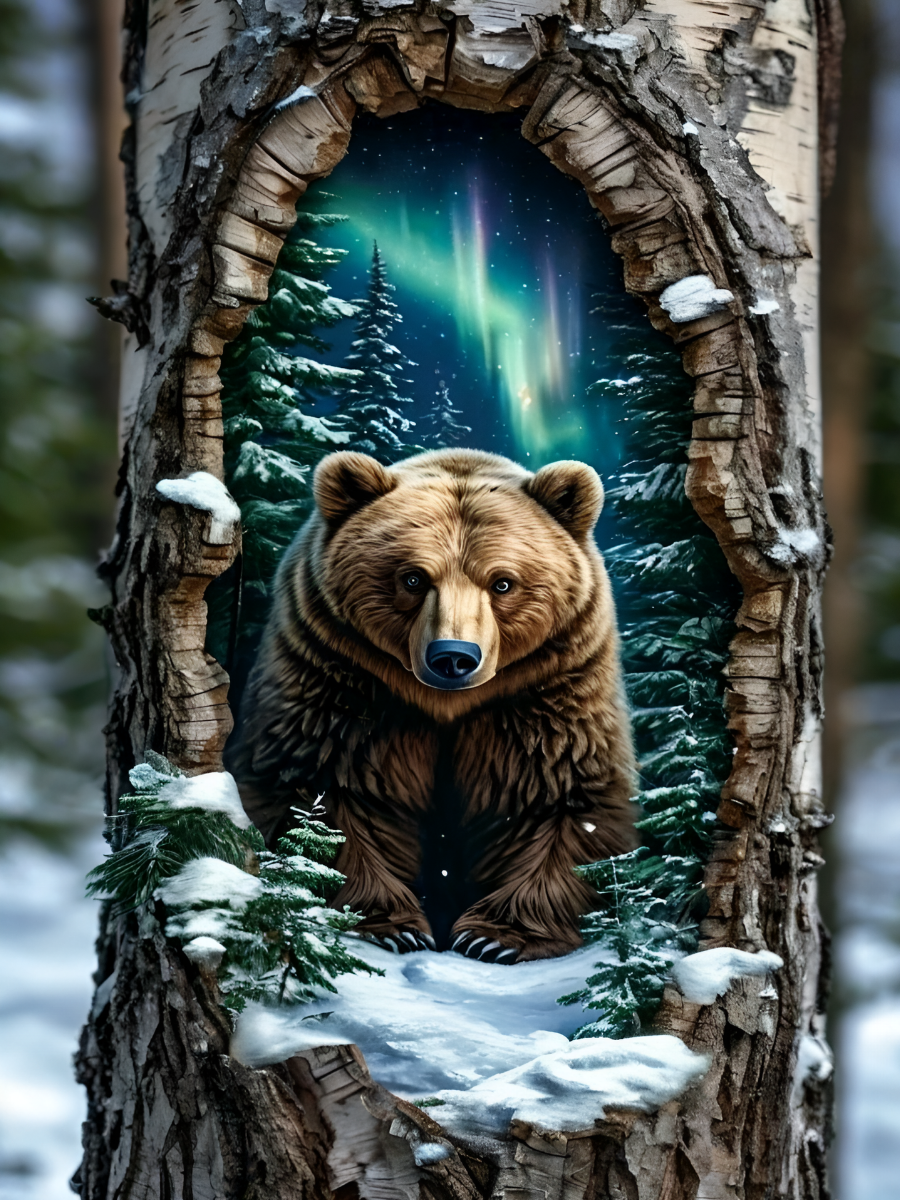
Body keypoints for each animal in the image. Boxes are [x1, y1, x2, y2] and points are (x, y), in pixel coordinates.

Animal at [228, 447, 636, 962]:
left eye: (503, 583)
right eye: (413, 577)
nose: (454, 657)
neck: (446, 705)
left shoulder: (547, 692)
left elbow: (561, 795)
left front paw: (495, 936)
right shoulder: (337, 681)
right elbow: (322, 792)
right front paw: (393, 926)